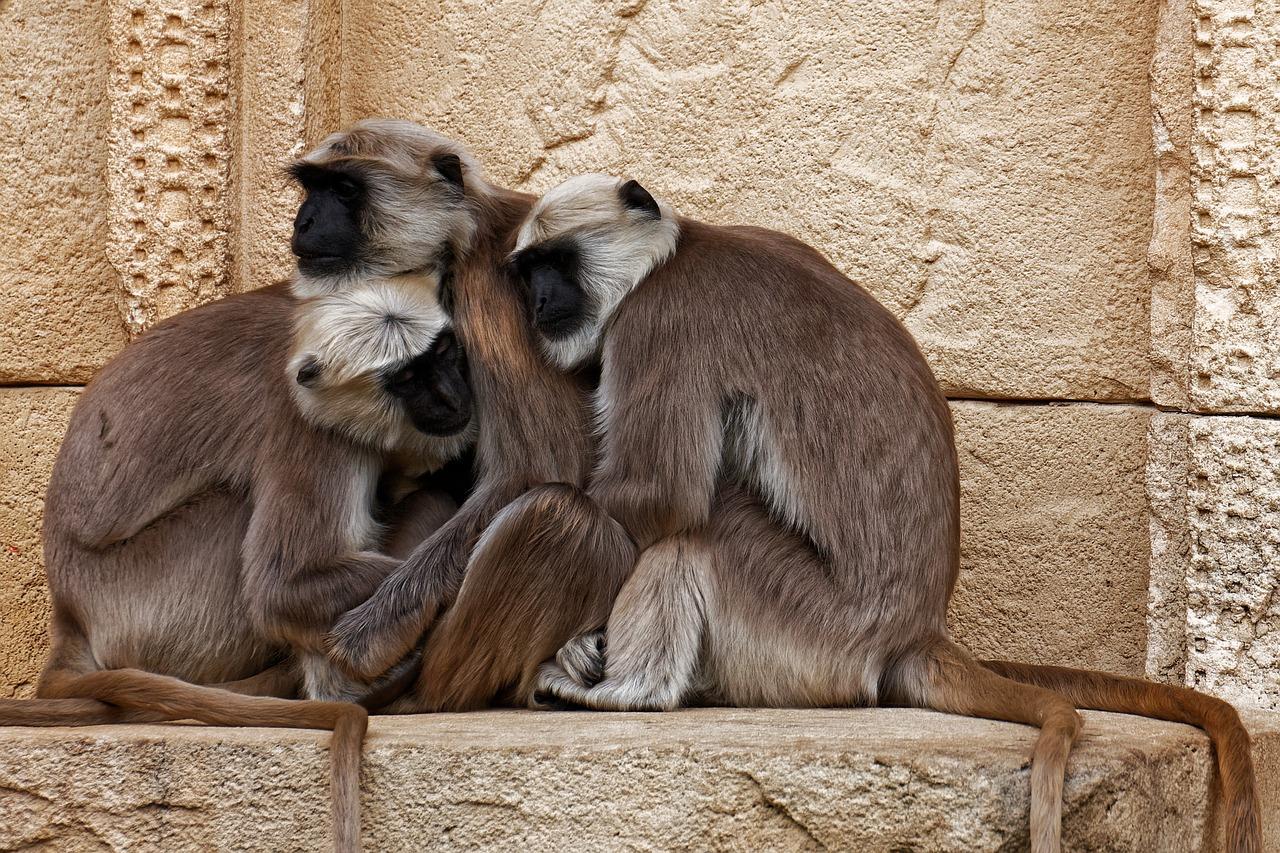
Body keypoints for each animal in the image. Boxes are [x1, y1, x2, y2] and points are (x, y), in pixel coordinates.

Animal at [0, 122, 480, 853]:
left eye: (445, 357)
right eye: (407, 379)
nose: (454, 399)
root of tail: (72, 614)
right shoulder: (306, 422)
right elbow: (284, 584)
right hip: (158, 598)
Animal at [495, 174, 1260, 853]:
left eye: (553, 264)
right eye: (527, 273)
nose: (538, 301)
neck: (679, 252)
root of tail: (914, 630)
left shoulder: (664, 320)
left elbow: (662, 495)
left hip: (814, 632)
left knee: (702, 530)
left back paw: (627, 694)